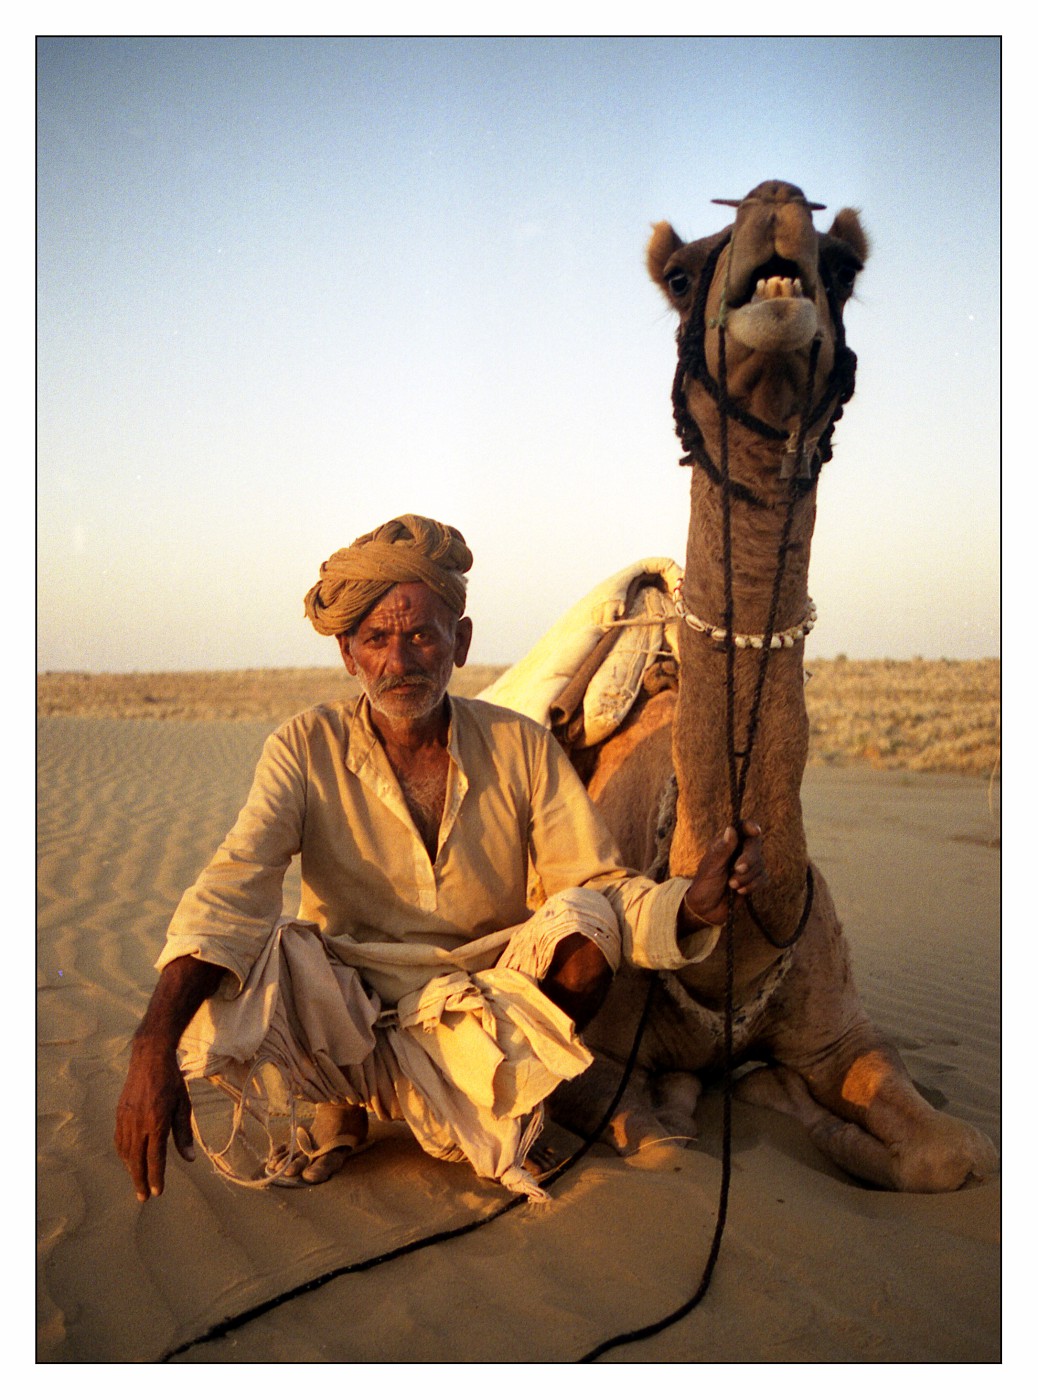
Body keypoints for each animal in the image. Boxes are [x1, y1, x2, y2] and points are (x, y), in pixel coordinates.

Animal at [549, 180, 998, 1192]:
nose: (778, 203)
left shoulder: (842, 1029)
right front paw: (705, 1102)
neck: (745, 940)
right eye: (681, 275)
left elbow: (949, 1151)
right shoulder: (594, 1058)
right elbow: (655, 1146)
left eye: (845, 265)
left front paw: (790, 1102)